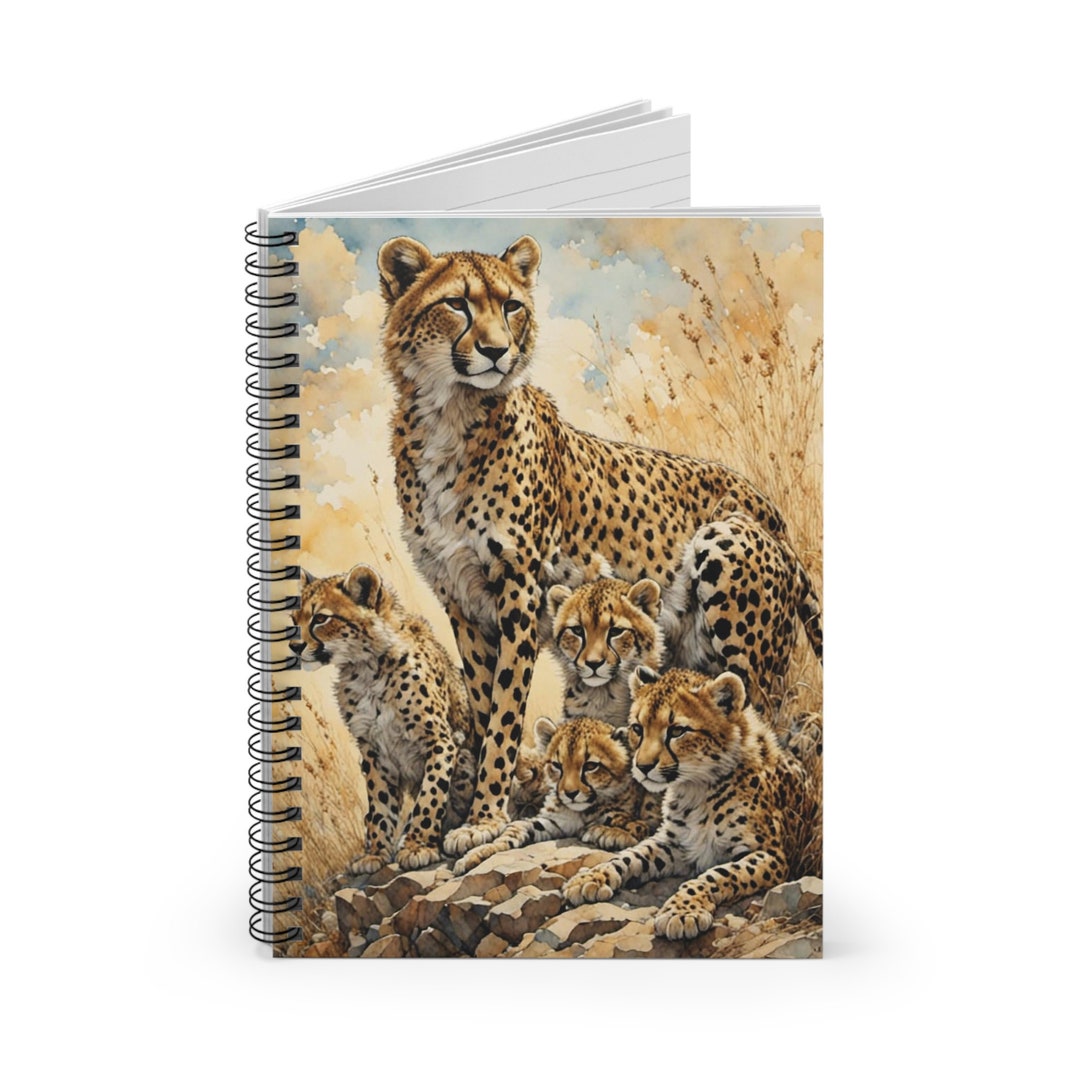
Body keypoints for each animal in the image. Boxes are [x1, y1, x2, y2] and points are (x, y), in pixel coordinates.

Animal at [291, 564, 479, 872]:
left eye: (320, 618)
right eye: (295, 619)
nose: (294, 646)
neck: (366, 667)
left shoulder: (440, 740)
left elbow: (430, 795)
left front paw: (417, 846)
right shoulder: (373, 751)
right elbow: (379, 805)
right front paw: (376, 854)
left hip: (464, 758)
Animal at [378, 233, 821, 855]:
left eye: (511, 306)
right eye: (457, 304)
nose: (496, 352)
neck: (450, 415)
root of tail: (771, 513)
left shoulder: (518, 594)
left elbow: (506, 716)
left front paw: (483, 819)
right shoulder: (463, 603)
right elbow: (487, 710)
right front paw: (487, 810)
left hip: (726, 553)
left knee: (760, 714)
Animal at [451, 715, 660, 875]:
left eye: (591, 766)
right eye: (558, 766)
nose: (570, 793)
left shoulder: (638, 821)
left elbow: (637, 827)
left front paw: (606, 832)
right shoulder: (555, 822)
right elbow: (515, 829)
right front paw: (476, 854)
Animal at [562, 665, 820, 941]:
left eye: (677, 731)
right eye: (638, 728)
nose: (642, 767)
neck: (696, 789)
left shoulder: (770, 855)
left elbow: (718, 874)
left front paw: (682, 911)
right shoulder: (674, 842)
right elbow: (630, 856)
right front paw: (590, 877)